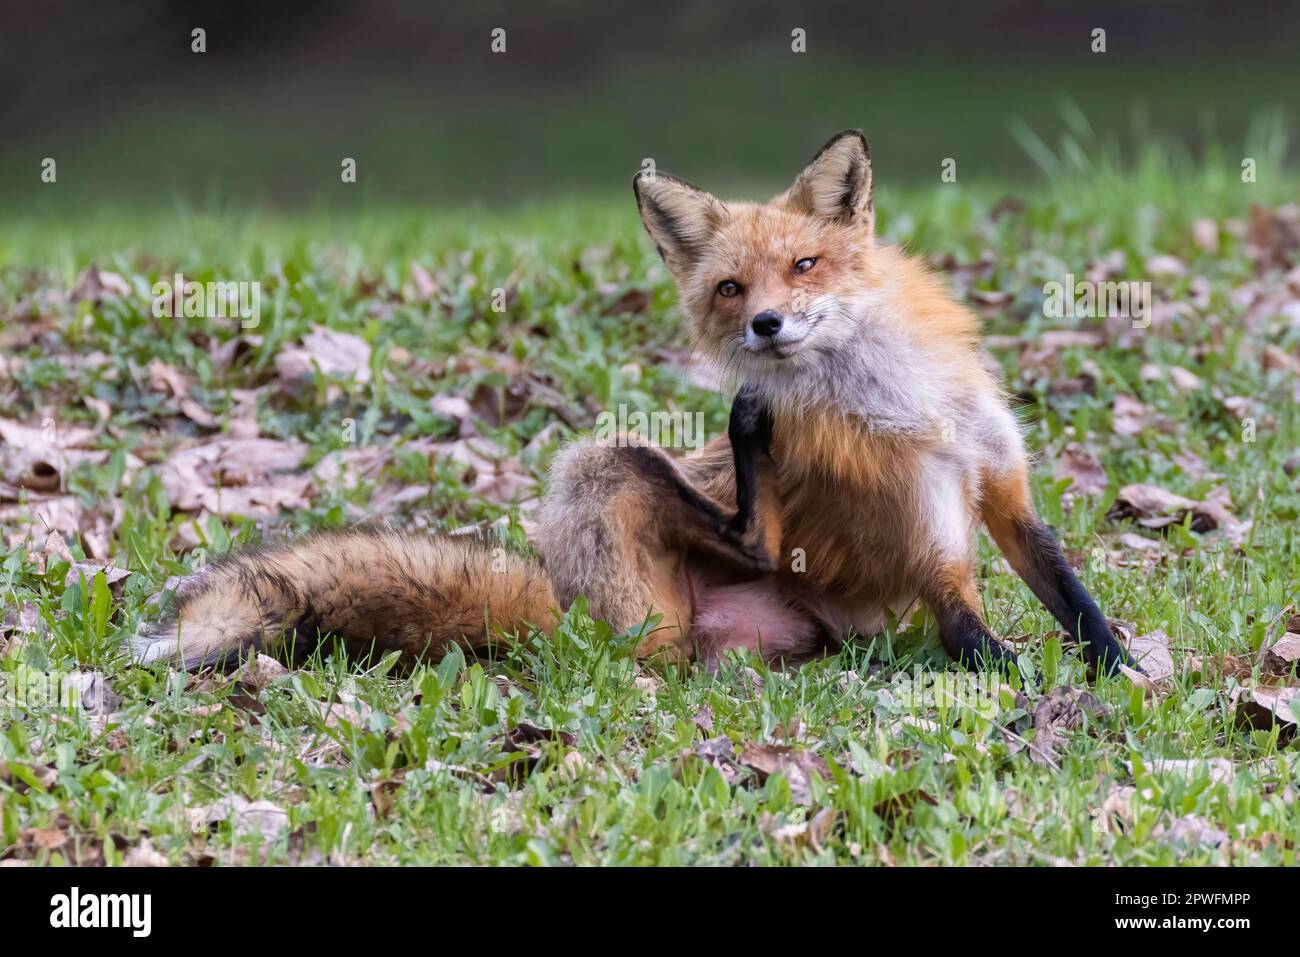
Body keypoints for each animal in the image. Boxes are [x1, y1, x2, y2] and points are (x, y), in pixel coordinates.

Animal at [136, 130, 1137, 677]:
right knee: (728, 555)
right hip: (600, 468)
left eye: (804, 265)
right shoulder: (931, 545)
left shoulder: (1000, 485)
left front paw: (1125, 669)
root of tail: (575, 610)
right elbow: (974, 642)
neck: (906, 404)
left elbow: (1077, 599)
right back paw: (746, 441)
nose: (768, 325)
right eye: (731, 287)